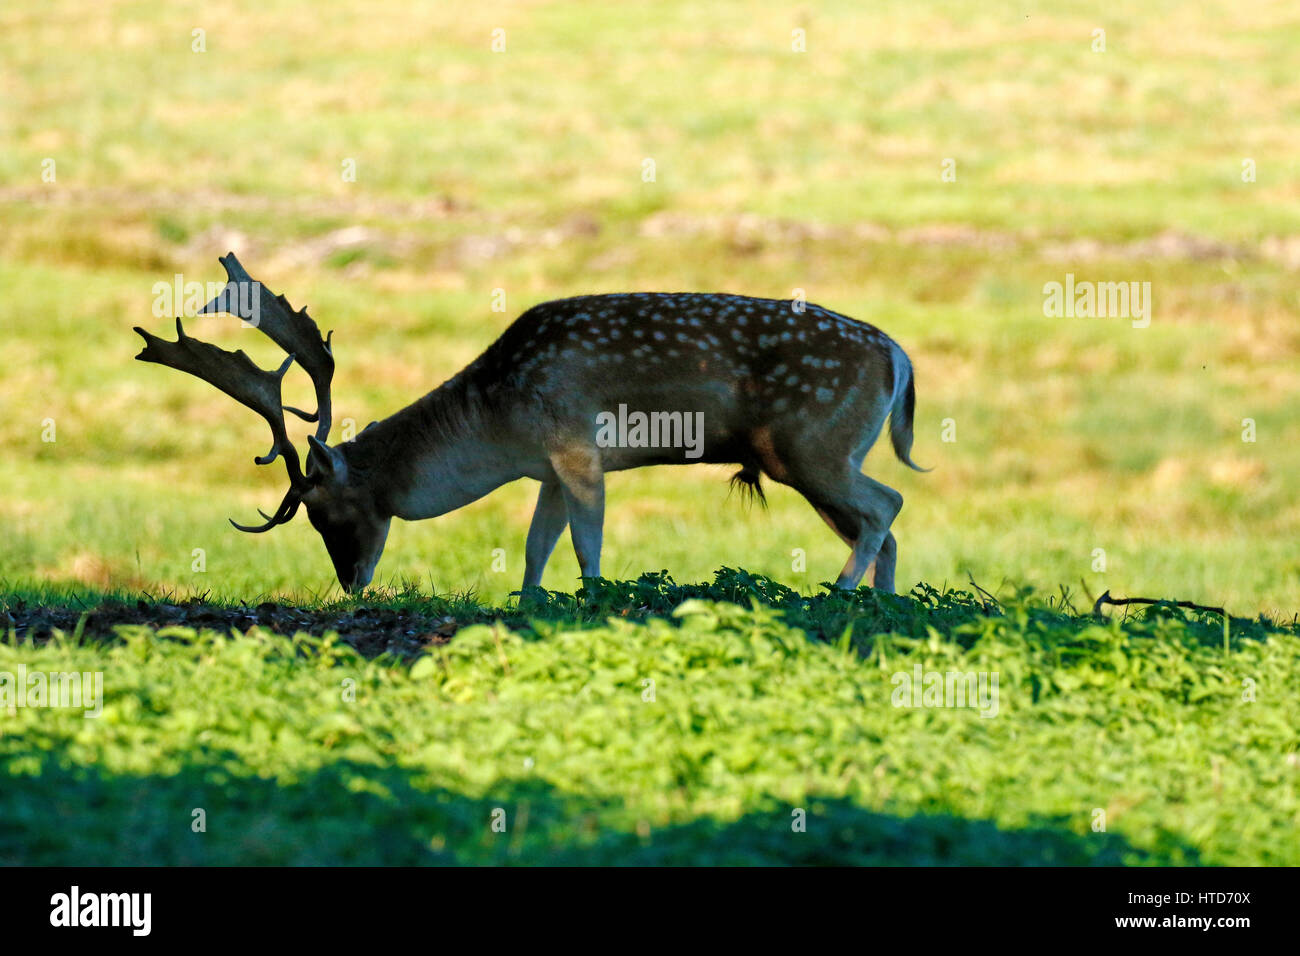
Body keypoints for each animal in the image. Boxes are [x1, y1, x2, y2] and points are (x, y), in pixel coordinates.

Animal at [134, 253, 925, 595]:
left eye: (330, 510)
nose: (350, 582)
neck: (499, 421)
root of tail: (899, 354)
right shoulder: (545, 468)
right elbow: (534, 548)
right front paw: (529, 605)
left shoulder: (577, 448)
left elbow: (585, 547)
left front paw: (594, 602)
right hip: (822, 459)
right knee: (883, 524)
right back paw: (879, 606)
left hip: (813, 445)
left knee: (889, 503)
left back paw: (840, 593)